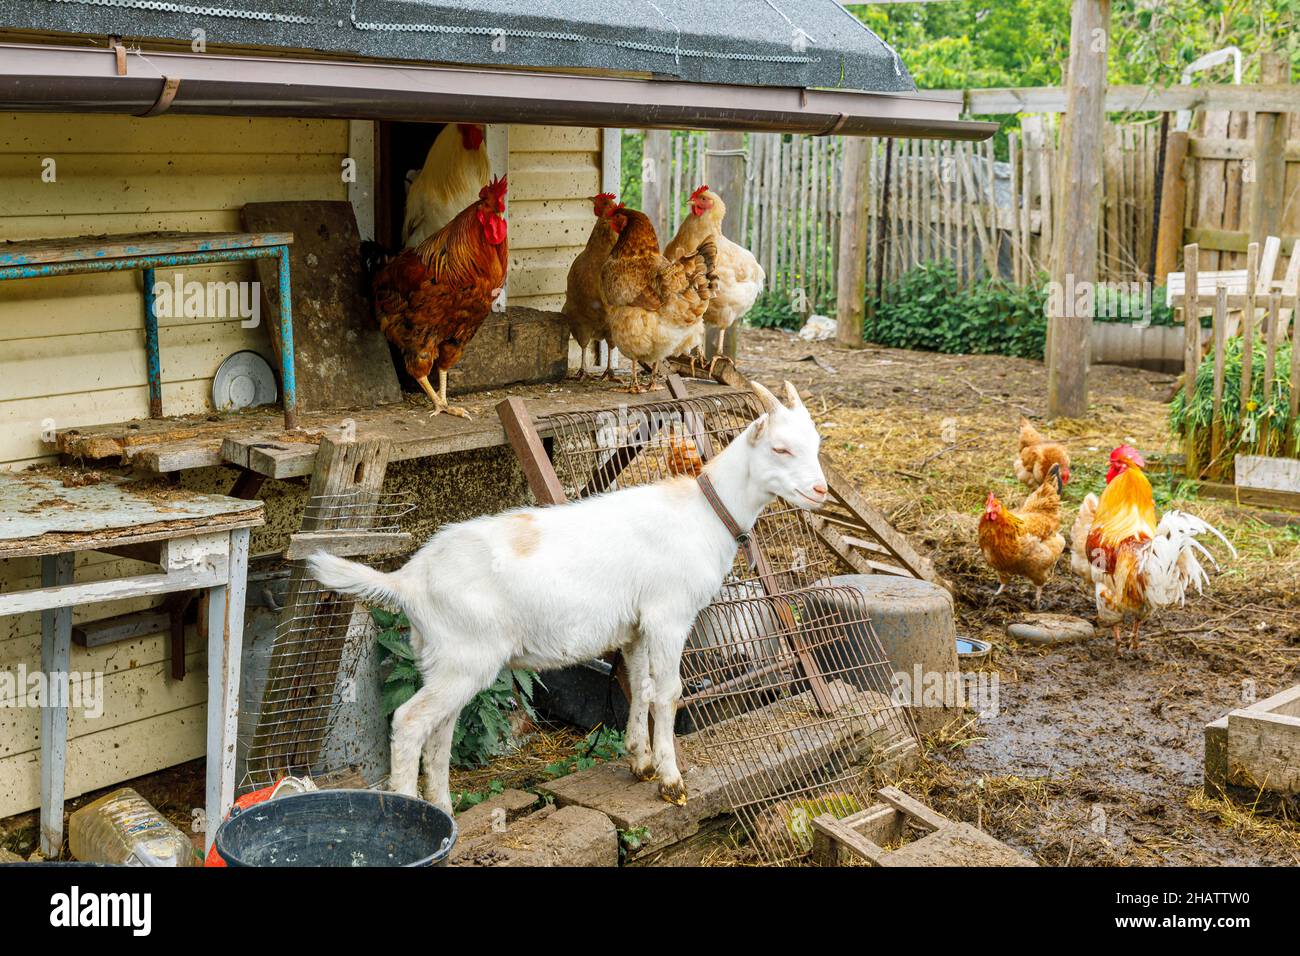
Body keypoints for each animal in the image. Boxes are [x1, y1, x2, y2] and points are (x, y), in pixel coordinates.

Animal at [307, 380, 827, 811]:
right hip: (465, 656)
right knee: (410, 721)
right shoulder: (669, 616)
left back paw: (443, 810)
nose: (821, 490)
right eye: (781, 448)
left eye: (816, 445)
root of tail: (410, 579)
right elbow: (667, 693)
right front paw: (670, 780)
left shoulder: (637, 626)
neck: (702, 512)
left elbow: (639, 686)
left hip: (443, 658)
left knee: (440, 732)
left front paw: (639, 762)